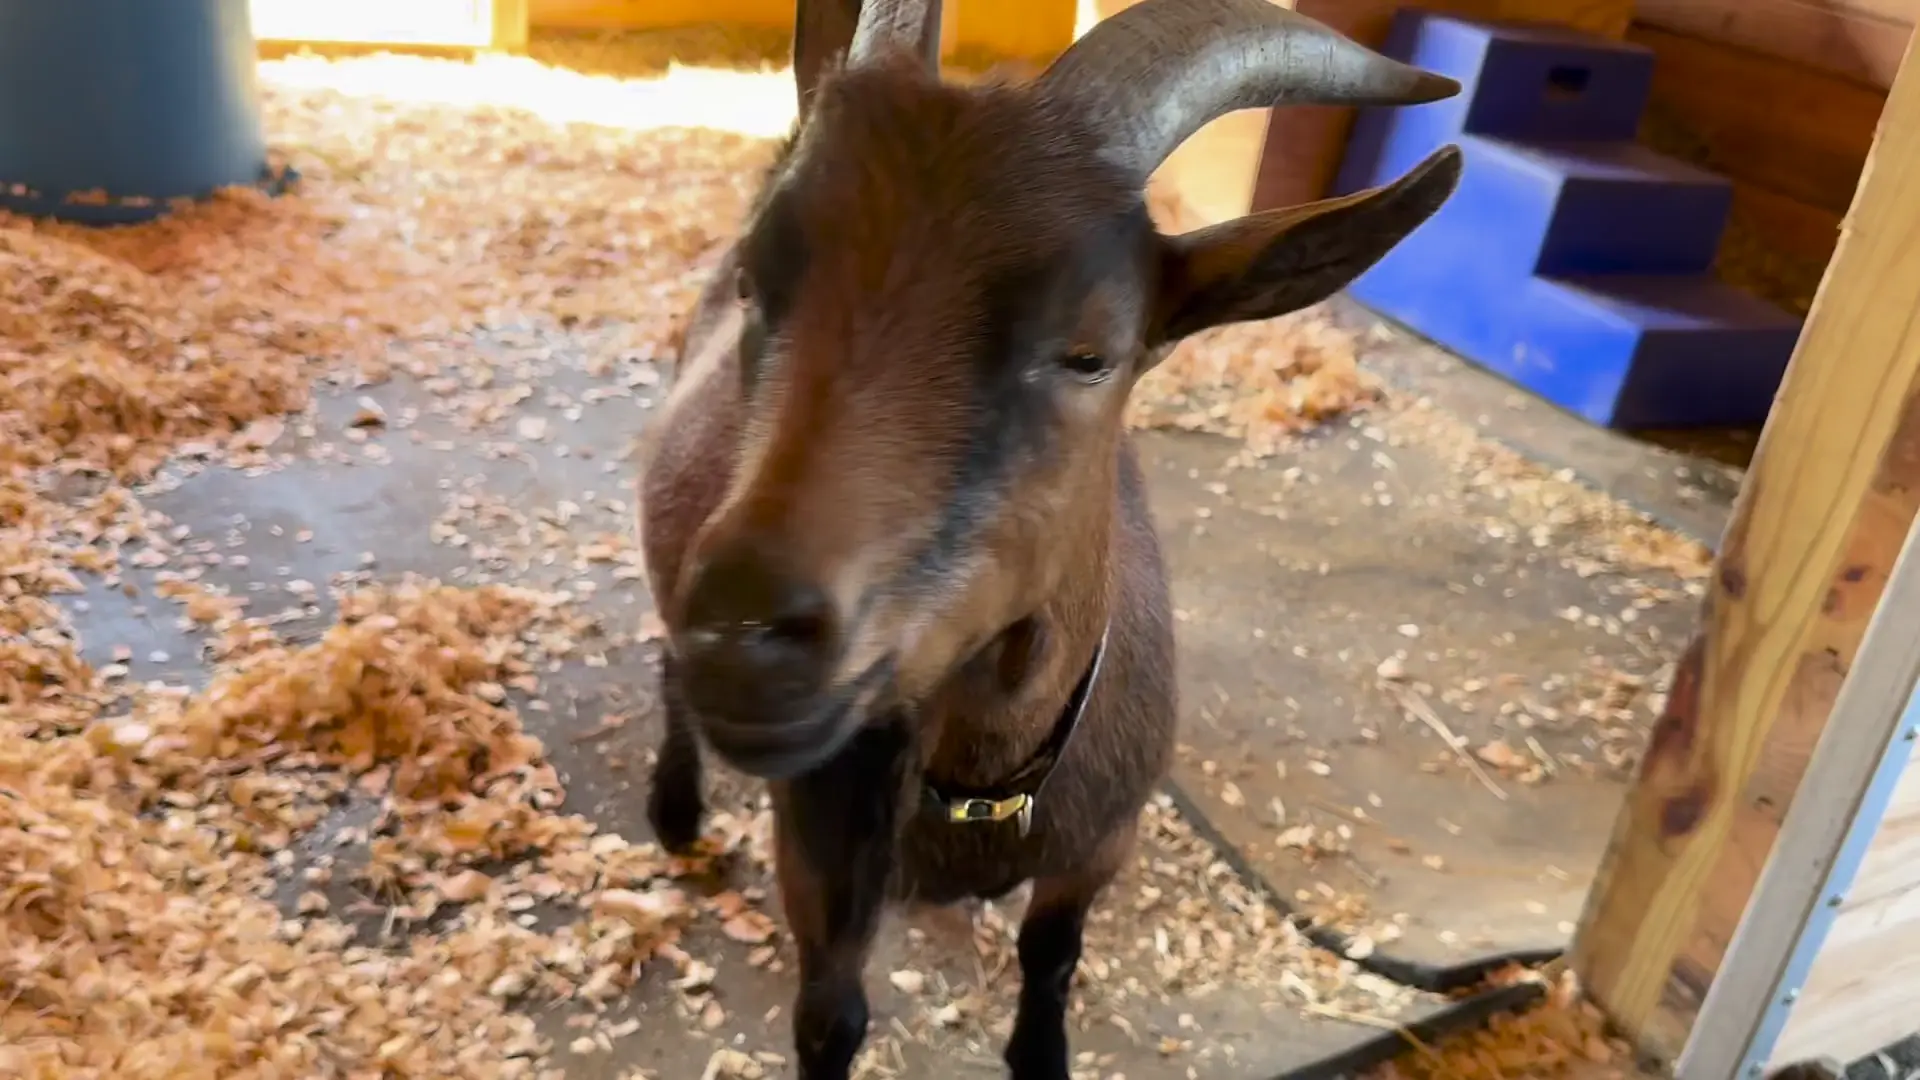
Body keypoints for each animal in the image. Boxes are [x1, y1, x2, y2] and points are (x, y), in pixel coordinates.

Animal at [635, 1, 1463, 1076]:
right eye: (756, 283)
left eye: (1090, 353)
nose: (747, 636)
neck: (980, 776)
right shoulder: (818, 849)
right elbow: (829, 1018)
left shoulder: (1100, 843)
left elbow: (1053, 960)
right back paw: (675, 808)